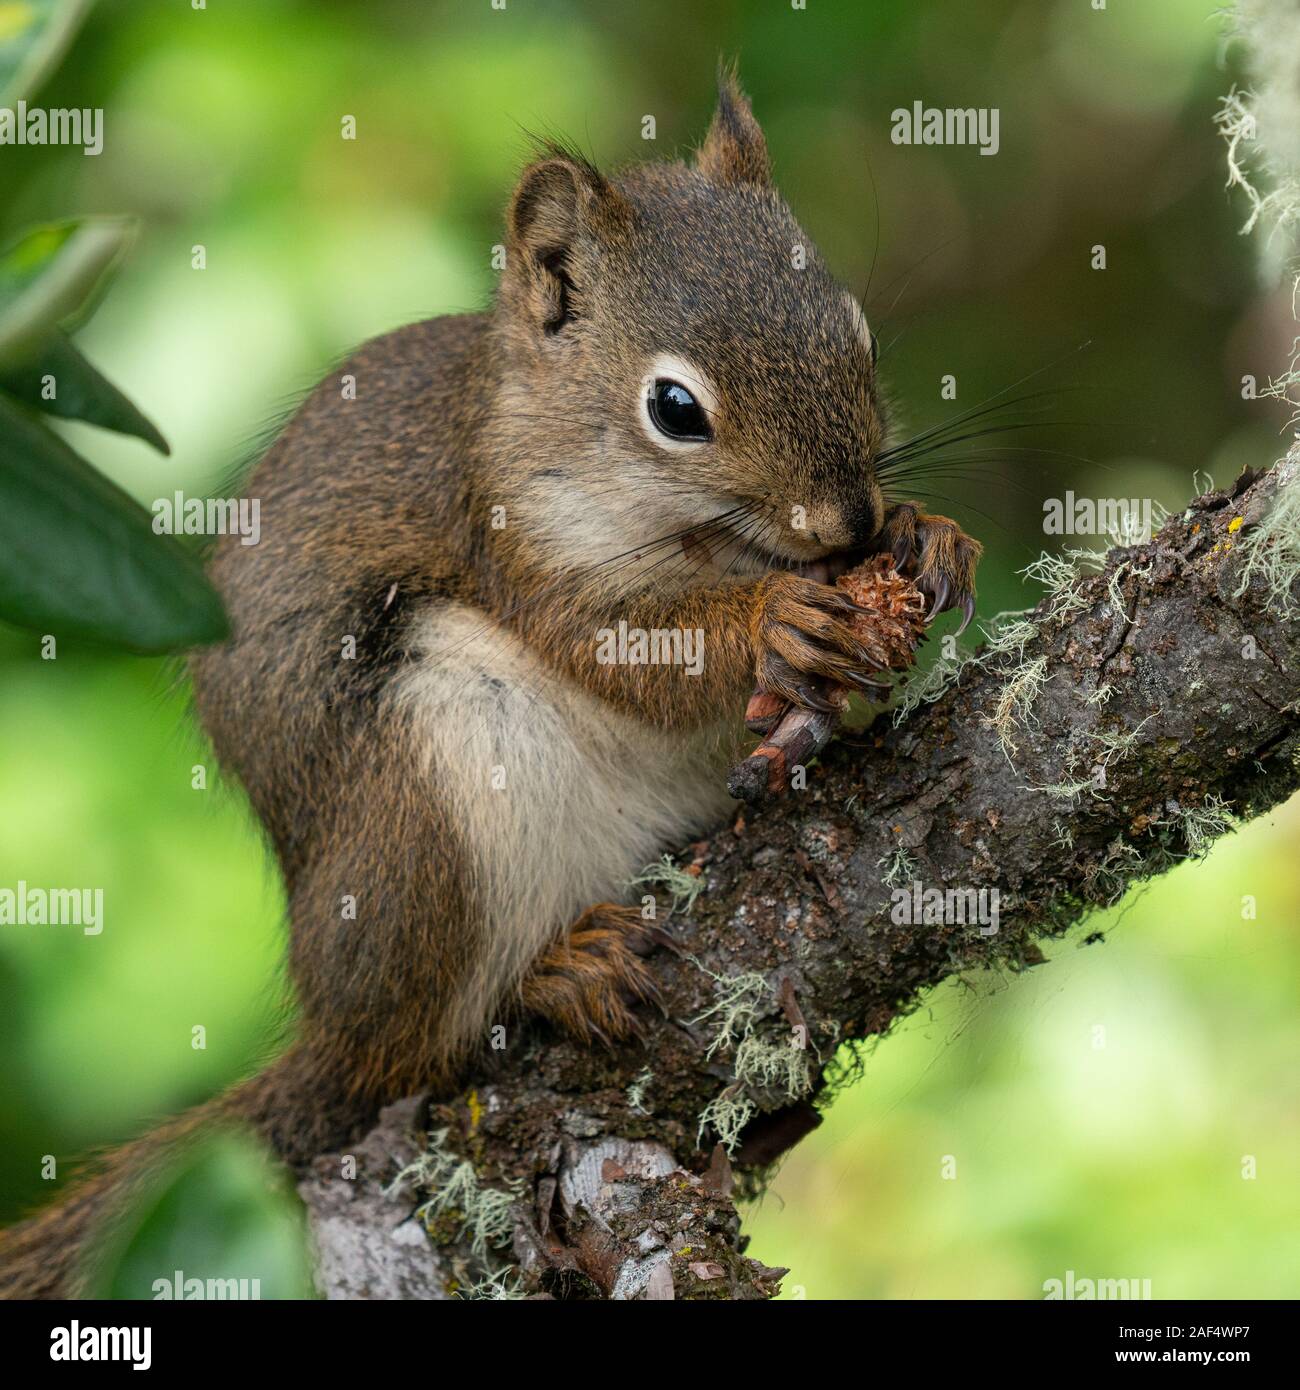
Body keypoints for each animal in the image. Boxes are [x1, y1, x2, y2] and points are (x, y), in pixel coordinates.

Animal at [0, 71, 980, 1298]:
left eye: (858, 333)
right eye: (674, 409)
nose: (847, 521)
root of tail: (329, 1021)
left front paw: (927, 538)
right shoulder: (511, 542)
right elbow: (626, 656)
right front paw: (775, 623)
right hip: (426, 796)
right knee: (416, 1047)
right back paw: (552, 973)